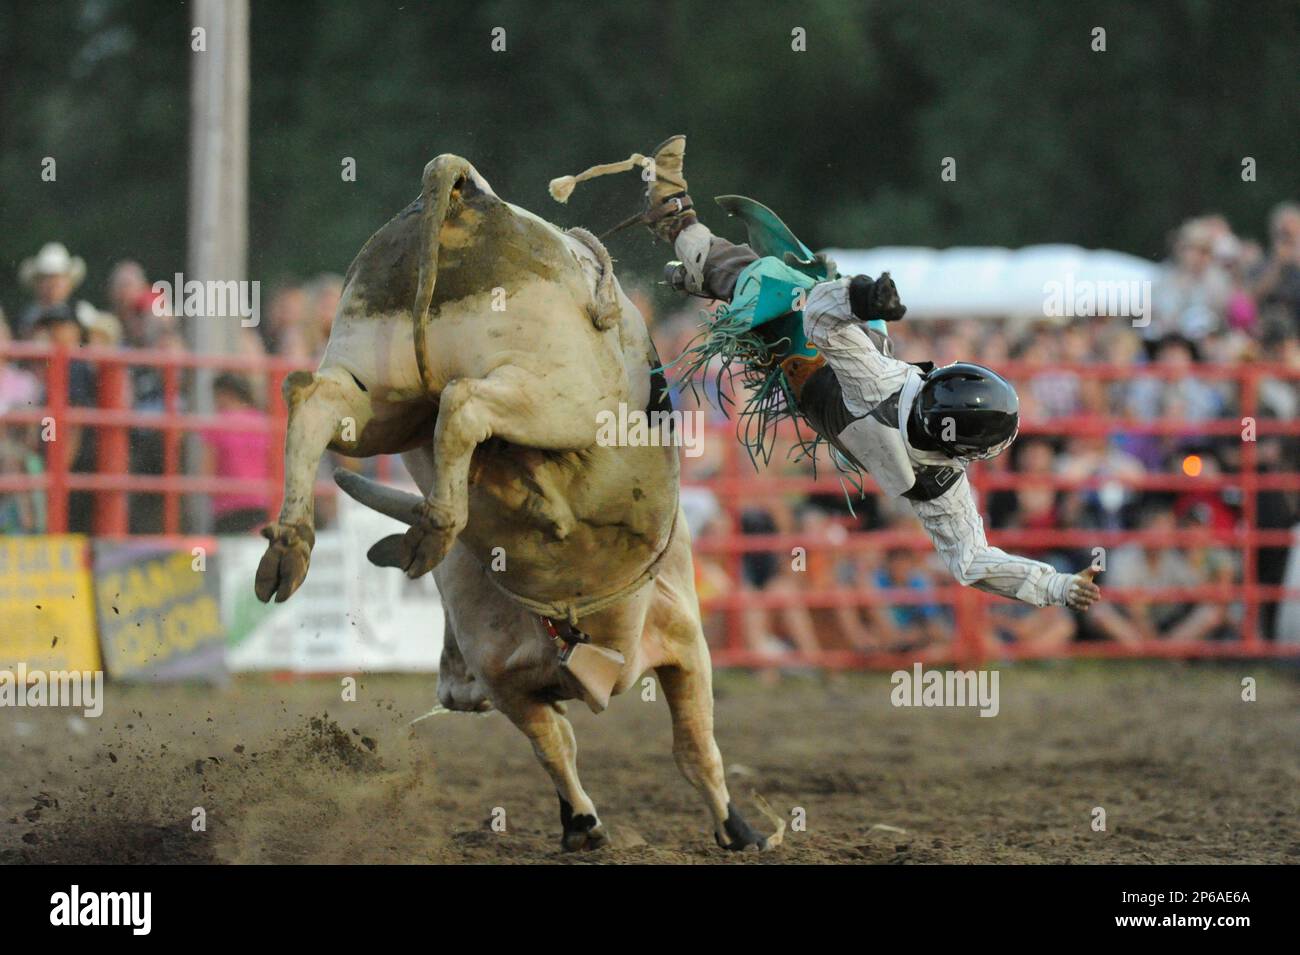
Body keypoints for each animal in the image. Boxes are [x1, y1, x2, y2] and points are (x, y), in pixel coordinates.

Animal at [253, 155, 781, 853]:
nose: (452, 690)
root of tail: (465, 190)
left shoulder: (681, 644)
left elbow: (686, 746)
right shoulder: (525, 677)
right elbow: (568, 744)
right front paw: (603, 824)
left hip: (379, 396)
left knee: (316, 401)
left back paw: (291, 551)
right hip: (550, 394)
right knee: (462, 404)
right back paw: (434, 526)